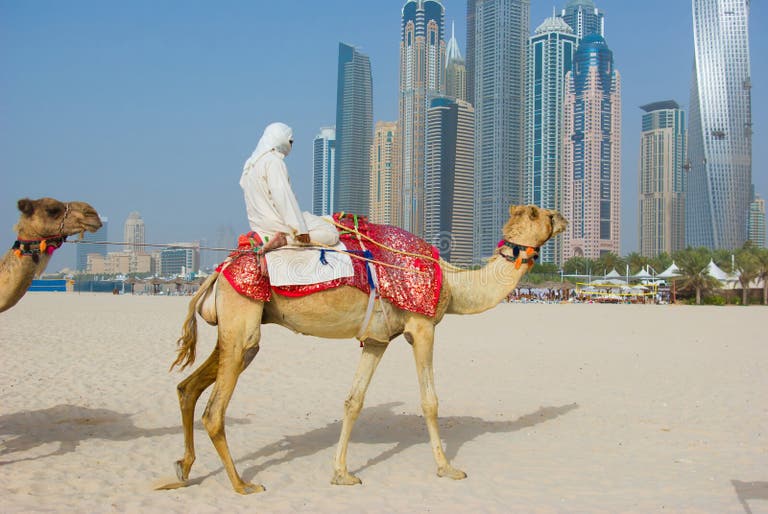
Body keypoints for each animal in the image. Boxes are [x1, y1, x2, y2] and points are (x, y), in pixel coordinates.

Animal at [169, 205, 567, 494]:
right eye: (546, 214)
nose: (564, 219)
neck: (453, 286)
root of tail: (219, 269)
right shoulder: (422, 328)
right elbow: (430, 401)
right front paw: (447, 468)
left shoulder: (376, 339)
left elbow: (354, 401)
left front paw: (341, 473)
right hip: (242, 317)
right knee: (214, 411)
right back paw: (241, 484)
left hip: (237, 328)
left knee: (187, 387)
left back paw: (183, 468)